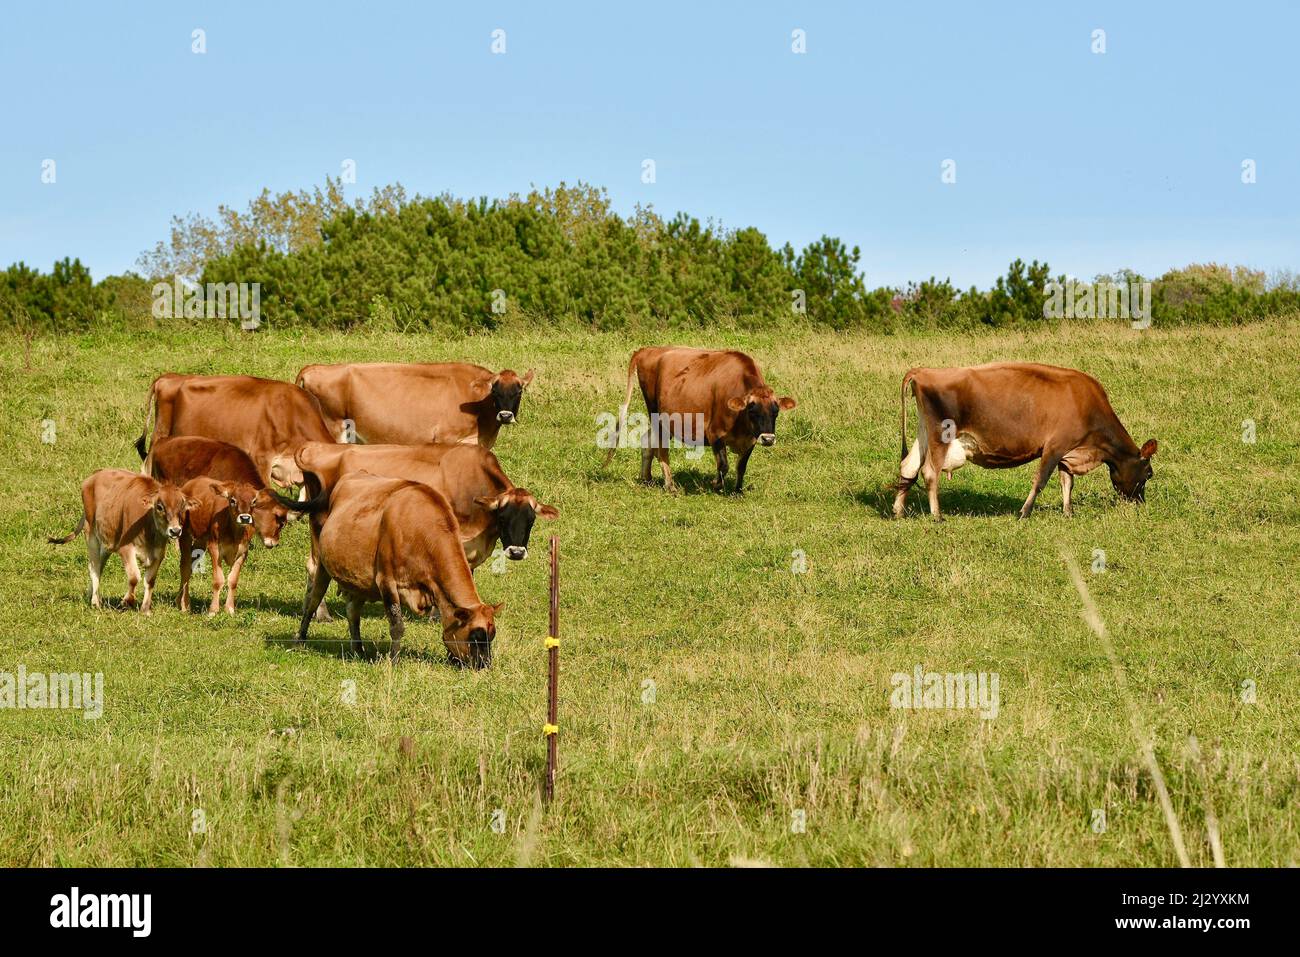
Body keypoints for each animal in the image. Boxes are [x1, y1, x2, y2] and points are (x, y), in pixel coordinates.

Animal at [48, 469, 196, 613]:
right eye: (159, 506)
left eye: (182, 507)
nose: (175, 531)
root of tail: (94, 475)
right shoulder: (126, 548)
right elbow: (134, 577)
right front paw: (127, 601)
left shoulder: (159, 553)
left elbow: (150, 581)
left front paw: (145, 609)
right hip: (91, 534)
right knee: (94, 566)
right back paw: (95, 602)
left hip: (108, 542)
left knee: (99, 565)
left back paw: (91, 595)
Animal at [283, 472, 503, 667]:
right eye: (475, 635)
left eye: (492, 635)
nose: (485, 665)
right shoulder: (387, 581)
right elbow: (397, 626)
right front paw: (394, 661)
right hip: (323, 564)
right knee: (314, 600)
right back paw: (300, 640)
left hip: (358, 579)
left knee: (353, 611)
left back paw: (358, 650)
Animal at [294, 362, 534, 448]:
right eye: (494, 390)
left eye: (519, 390)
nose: (505, 415)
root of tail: (314, 367)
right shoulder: (445, 438)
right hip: (333, 427)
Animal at [602, 347, 796, 493]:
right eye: (752, 410)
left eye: (776, 412)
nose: (768, 439)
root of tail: (648, 349)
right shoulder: (714, 433)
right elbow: (723, 465)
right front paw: (716, 484)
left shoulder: (751, 439)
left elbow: (741, 466)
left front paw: (738, 490)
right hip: (657, 415)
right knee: (661, 449)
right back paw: (670, 485)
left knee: (647, 441)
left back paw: (646, 478)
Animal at [892, 363, 1158, 521]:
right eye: (1149, 474)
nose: (1140, 503)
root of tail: (923, 371)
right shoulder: (1055, 446)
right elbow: (1041, 481)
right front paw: (1024, 512)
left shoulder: (1067, 450)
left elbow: (1067, 482)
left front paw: (1068, 512)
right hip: (940, 433)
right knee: (929, 471)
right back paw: (937, 516)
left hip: (924, 432)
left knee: (909, 466)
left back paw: (898, 511)